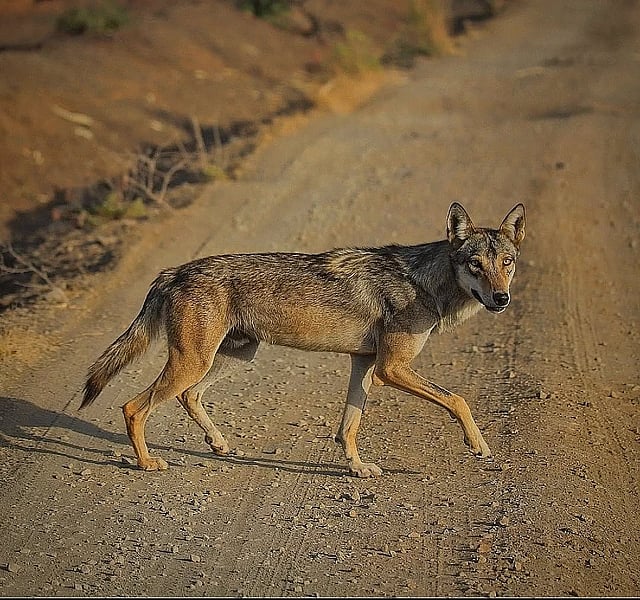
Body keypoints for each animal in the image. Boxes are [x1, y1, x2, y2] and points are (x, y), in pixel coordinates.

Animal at [81, 202, 525, 477]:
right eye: (475, 264)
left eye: (506, 263)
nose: (501, 298)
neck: (425, 283)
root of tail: (173, 271)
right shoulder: (390, 368)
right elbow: (458, 399)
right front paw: (478, 445)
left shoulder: (365, 363)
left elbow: (349, 425)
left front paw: (356, 468)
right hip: (196, 362)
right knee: (133, 407)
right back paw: (146, 463)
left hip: (232, 357)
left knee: (189, 396)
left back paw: (219, 445)